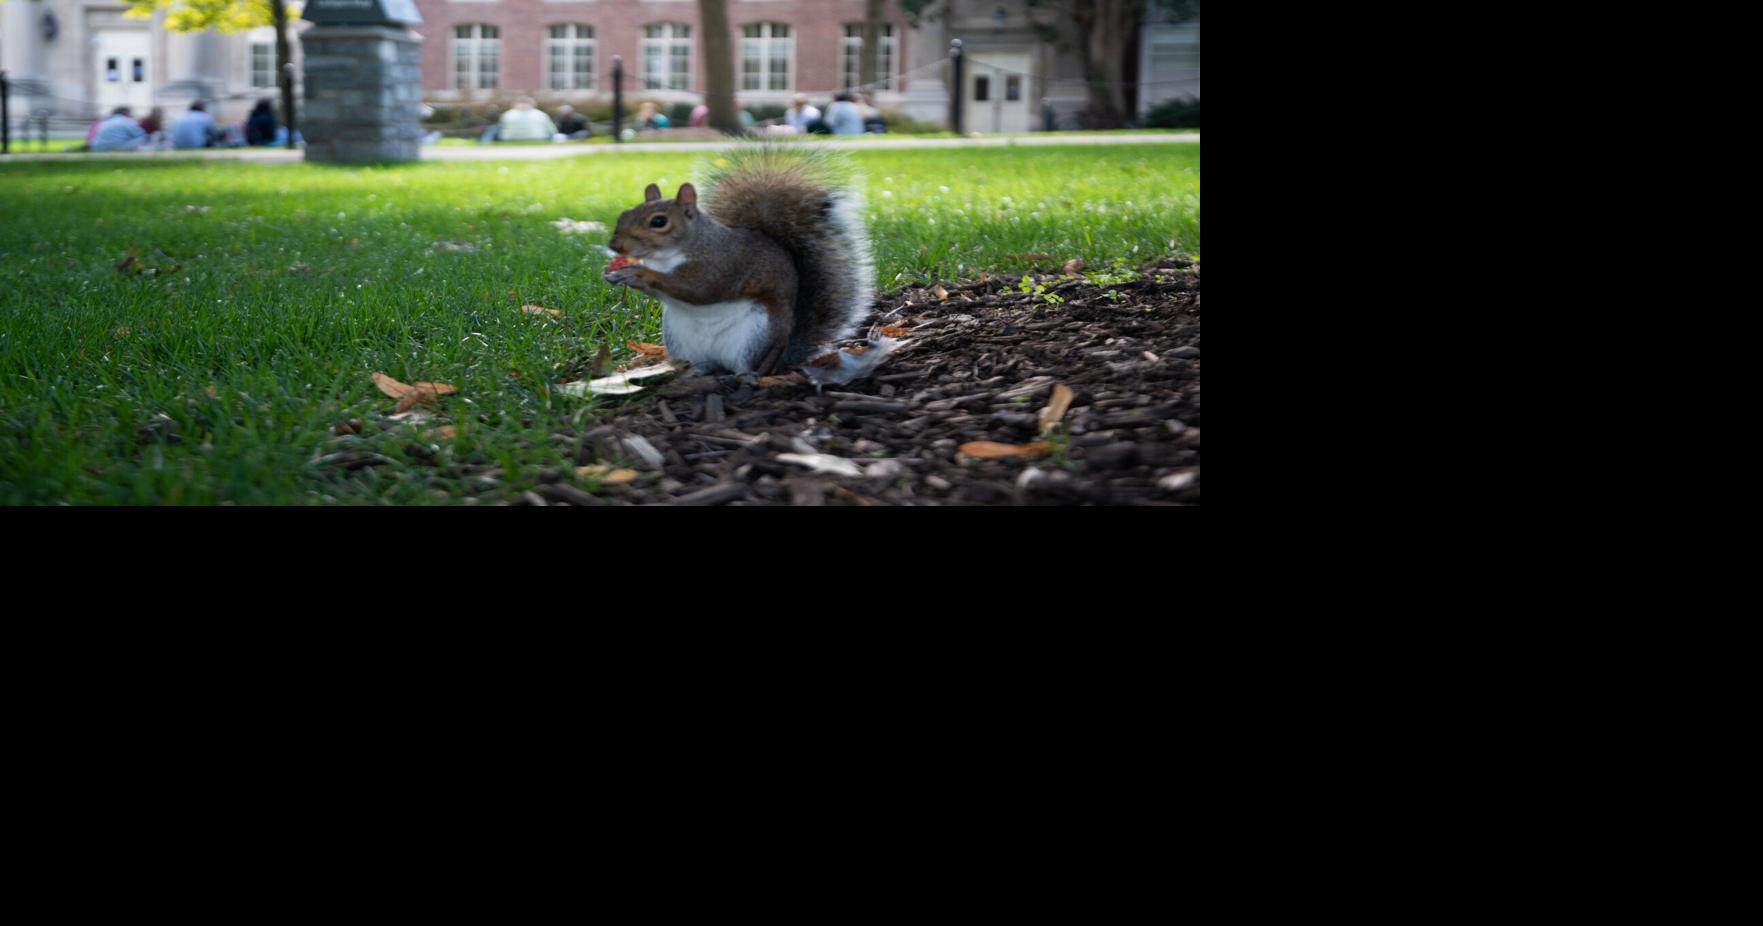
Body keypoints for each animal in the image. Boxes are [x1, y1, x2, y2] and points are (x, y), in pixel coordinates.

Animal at [602, 148, 876, 377]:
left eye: (658, 222)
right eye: (624, 214)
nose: (616, 246)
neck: (667, 257)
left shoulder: (723, 264)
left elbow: (698, 289)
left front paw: (638, 273)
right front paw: (613, 274)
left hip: (756, 335)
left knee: (744, 365)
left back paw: (747, 376)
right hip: (679, 340)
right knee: (703, 366)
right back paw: (692, 374)